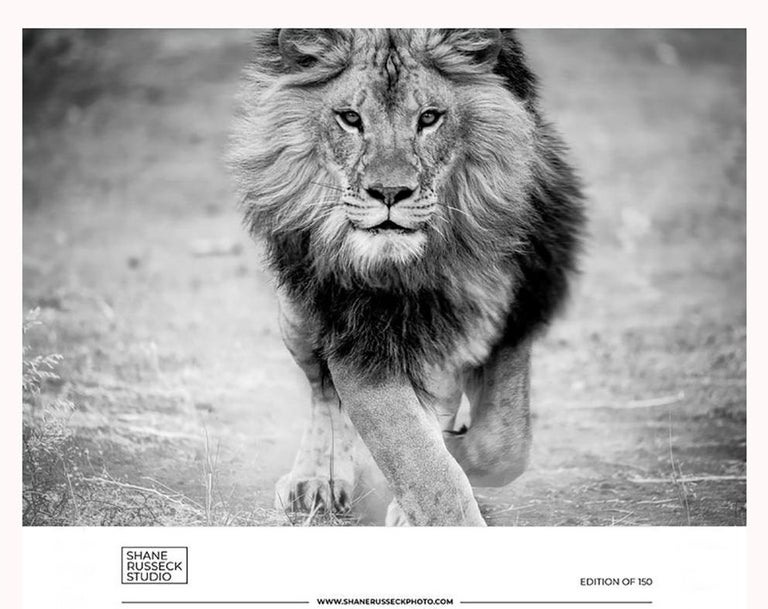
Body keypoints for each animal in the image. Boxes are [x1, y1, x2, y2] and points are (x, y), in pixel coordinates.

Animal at [230, 29, 585, 526]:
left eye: (430, 118)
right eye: (350, 118)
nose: (389, 192)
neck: (427, 262)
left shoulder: (515, 315)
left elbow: (503, 443)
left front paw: (458, 454)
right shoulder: (358, 340)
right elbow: (420, 463)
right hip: (299, 316)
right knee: (323, 392)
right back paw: (318, 481)